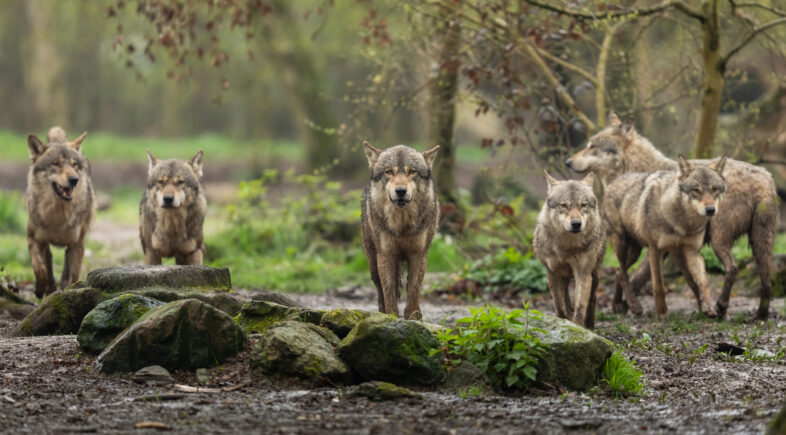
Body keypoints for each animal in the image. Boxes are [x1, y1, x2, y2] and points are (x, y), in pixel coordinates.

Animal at [26, 127, 95, 298]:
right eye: (56, 164)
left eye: (74, 164)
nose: (74, 180)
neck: (57, 215)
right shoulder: (33, 238)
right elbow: (39, 268)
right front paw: (40, 289)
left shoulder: (77, 243)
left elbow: (74, 275)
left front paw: (71, 290)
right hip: (45, 244)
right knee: (49, 261)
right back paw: (49, 289)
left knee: (66, 266)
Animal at [361, 141, 440, 320]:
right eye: (389, 172)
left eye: (412, 171)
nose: (401, 191)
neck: (402, 225)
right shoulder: (386, 255)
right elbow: (389, 292)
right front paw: (390, 317)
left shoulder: (418, 256)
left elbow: (413, 291)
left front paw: (413, 317)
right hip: (373, 263)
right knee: (380, 290)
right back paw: (381, 311)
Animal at [533, 172, 605, 329]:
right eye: (564, 205)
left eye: (583, 205)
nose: (576, 224)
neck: (567, 246)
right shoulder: (552, 272)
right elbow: (560, 306)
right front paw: (563, 321)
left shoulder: (583, 274)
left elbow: (580, 307)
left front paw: (577, 327)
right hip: (564, 276)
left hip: (595, 275)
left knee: (592, 300)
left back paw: (590, 326)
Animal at [603, 156, 728, 318]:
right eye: (696, 190)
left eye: (714, 189)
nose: (711, 209)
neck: (682, 223)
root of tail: (613, 181)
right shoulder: (655, 250)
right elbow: (659, 286)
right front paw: (661, 312)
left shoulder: (692, 251)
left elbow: (703, 282)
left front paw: (708, 307)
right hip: (623, 246)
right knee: (623, 273)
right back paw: (635, 306)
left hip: (636, 252)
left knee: (619, 271)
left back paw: (618, 305)